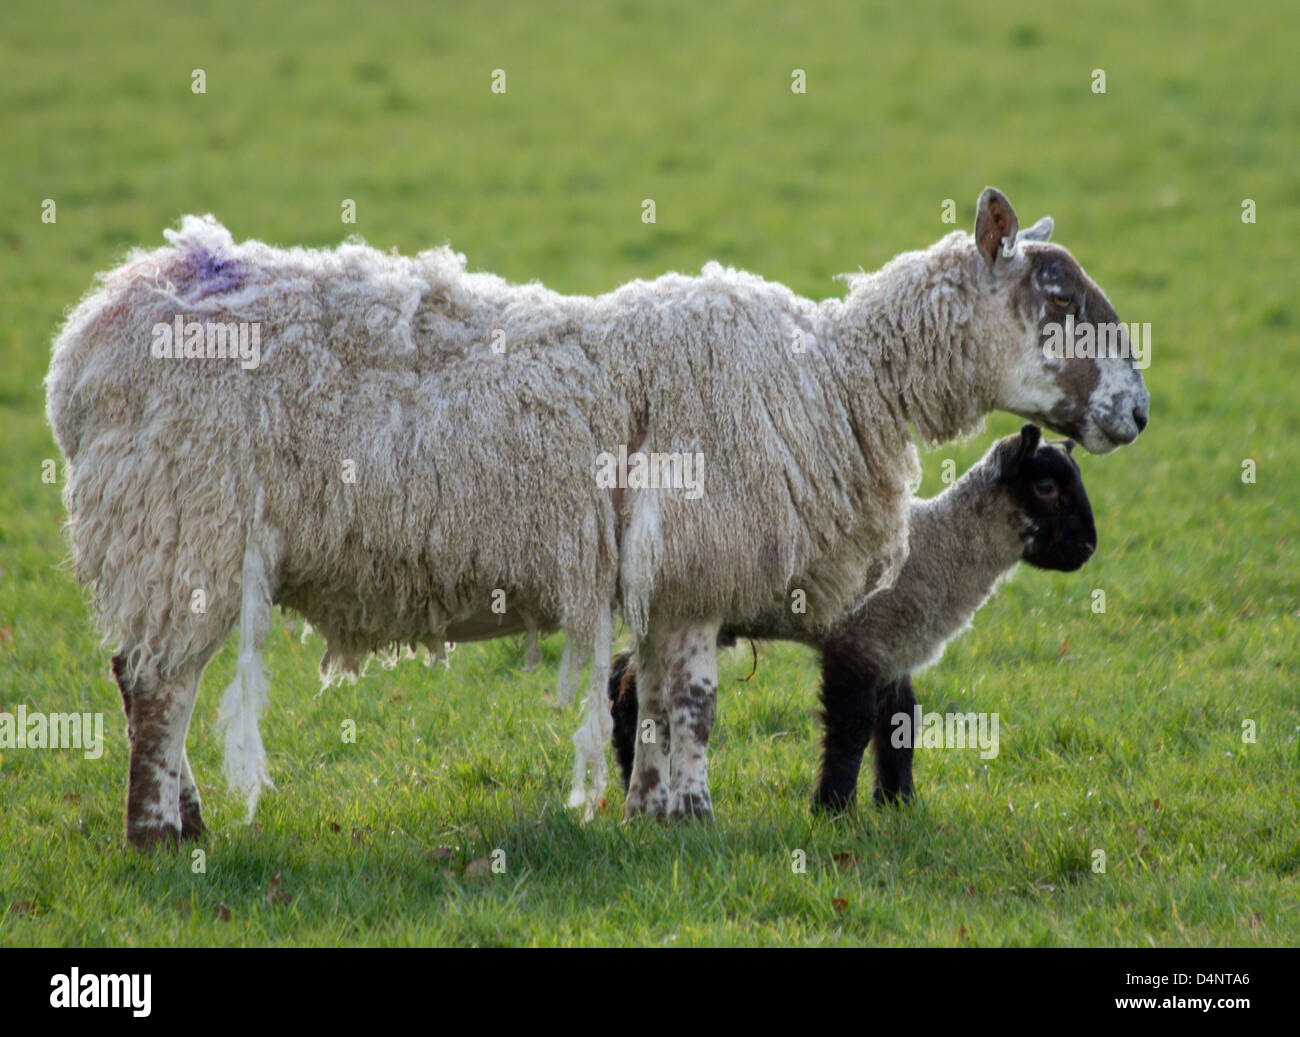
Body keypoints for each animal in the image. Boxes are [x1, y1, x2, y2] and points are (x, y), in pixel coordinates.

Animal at [609, 424, 1097, 810]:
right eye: (1046, 487)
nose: (1089, 548)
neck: (941, 548)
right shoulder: (857, 640)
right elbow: (852, 728)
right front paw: (833, 808)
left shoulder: (894, 648)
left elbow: (902, 723)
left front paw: (899, 804)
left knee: (625, 682)